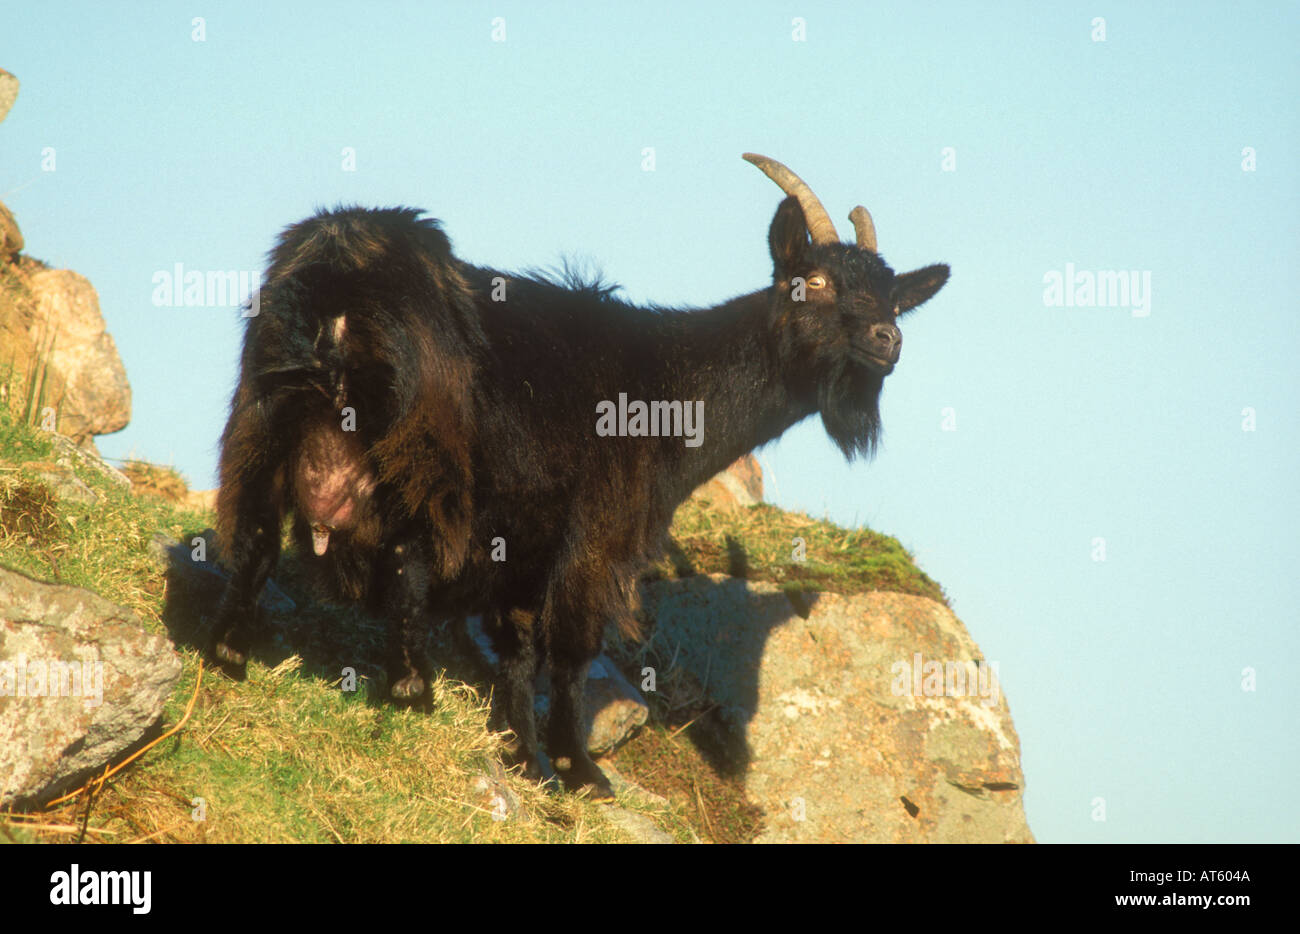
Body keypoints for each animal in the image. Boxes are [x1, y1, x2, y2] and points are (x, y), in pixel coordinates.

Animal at [210, 154, 949, 798]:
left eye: (893, 301)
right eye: (814, 282)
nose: (887, 341)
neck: (668, 390)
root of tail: (342, 267)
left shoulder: (522, 540)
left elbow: (516, 647)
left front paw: (523, 754)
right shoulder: (596, 535)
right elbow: (568, 651)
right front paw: (579, 771)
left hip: (259, 423)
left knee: (255, 534)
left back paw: (229, 653)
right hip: (419, 446)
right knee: (406, 555)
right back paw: (411, 690)